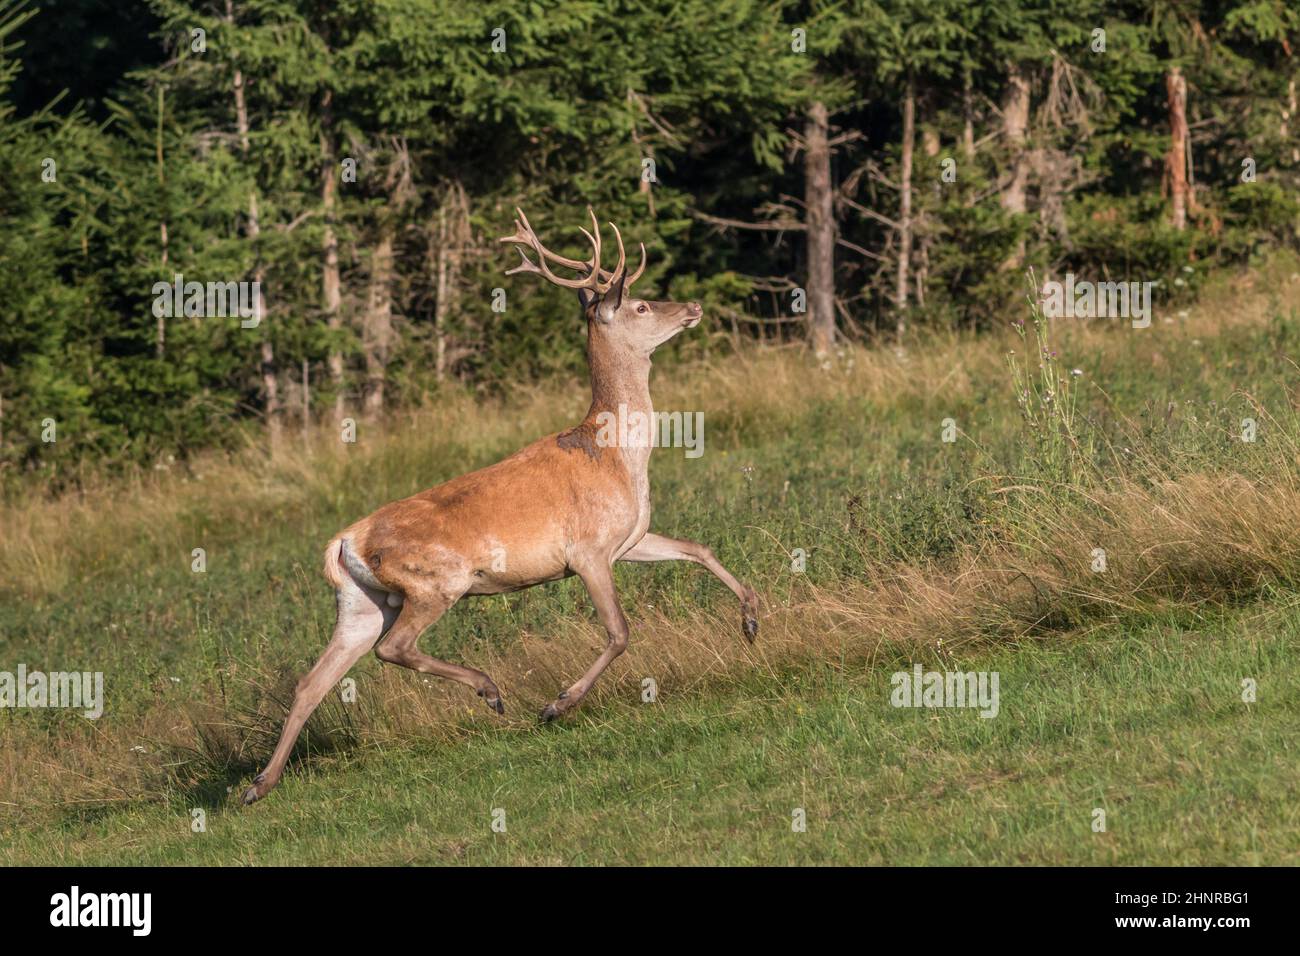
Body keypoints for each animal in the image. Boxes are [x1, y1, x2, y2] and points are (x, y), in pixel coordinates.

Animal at [242, 207, 760, 805]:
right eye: (641, 305)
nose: (693, 305)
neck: (614, 453)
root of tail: (345, 540)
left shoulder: (626, 539)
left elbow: (698, 548)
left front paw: (751, 619)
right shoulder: (586, 551)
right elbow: (620, 631)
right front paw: (556, 705)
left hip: (360, 601)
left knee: (312, 681)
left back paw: (259, 785)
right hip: (435, 581)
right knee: (393, 649)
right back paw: (490, 690)